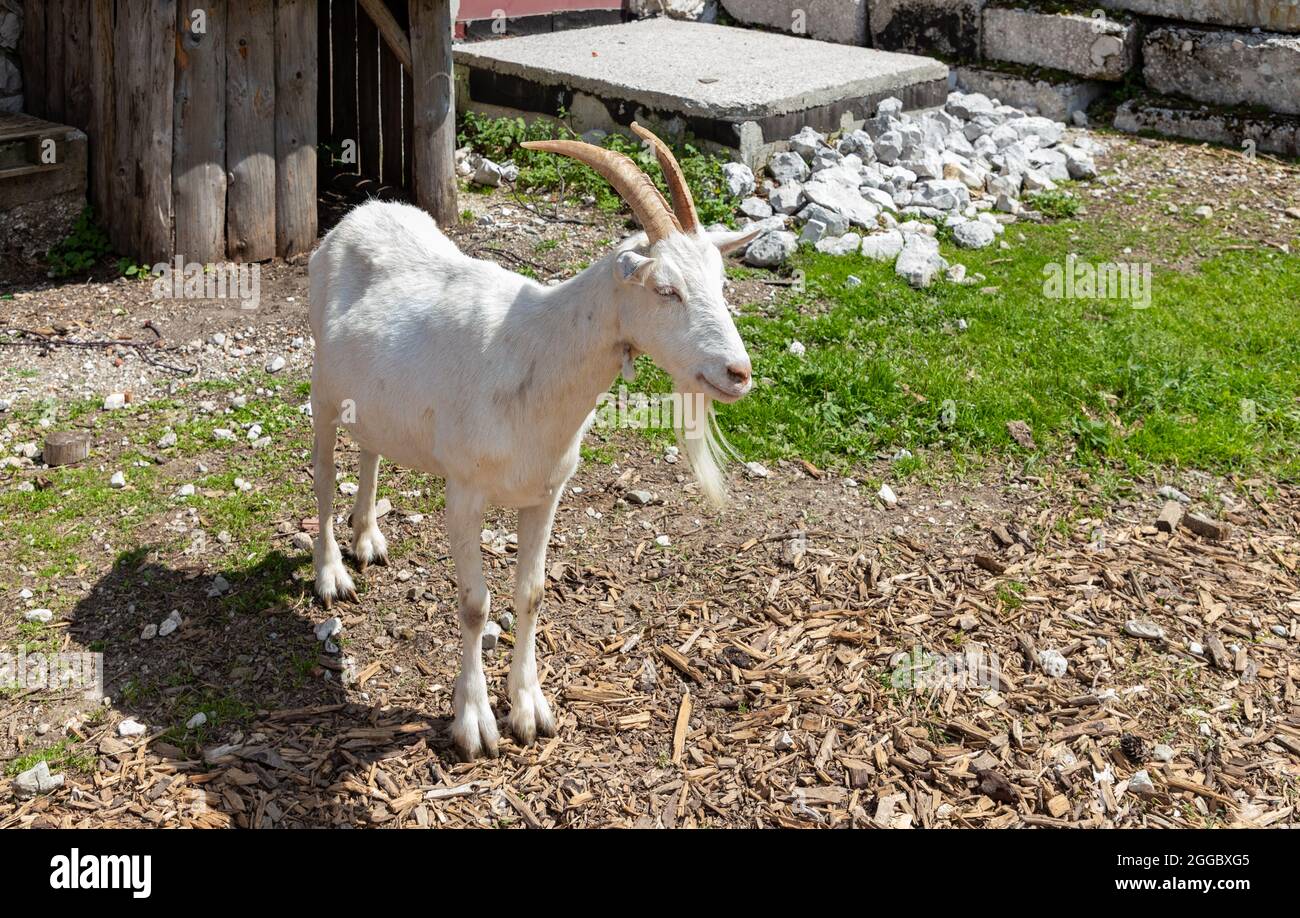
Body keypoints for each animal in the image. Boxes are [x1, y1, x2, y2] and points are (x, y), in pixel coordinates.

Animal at [307, 124, 762, 760]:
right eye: (666, 290)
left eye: (721, 283)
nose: (737, 373)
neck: (535, 353)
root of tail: (359, 213)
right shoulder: (464, 494)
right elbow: (475, 605)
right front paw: (475, 722)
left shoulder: (546, 493)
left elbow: (533, 592)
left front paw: (529, 710)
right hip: (323, 390)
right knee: (325, 476)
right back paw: (331, 575)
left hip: (370, 397)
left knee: (370, 447)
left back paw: (368, 538)